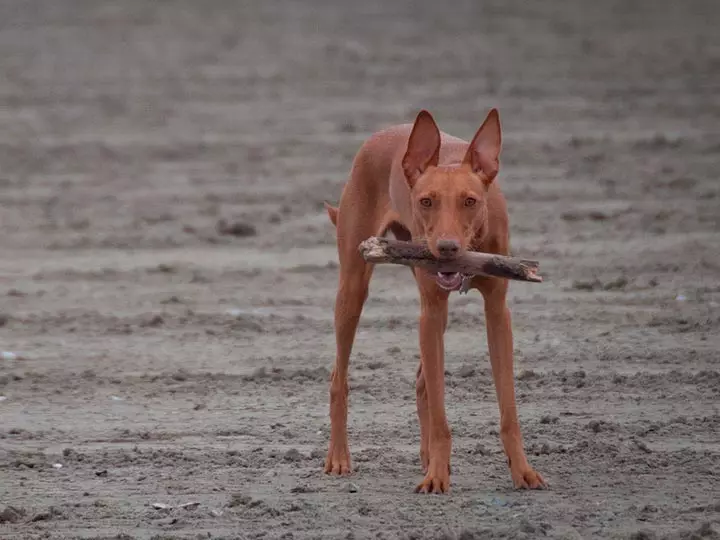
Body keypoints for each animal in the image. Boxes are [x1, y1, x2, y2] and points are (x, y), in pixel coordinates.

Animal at [322, 108, 544, 494]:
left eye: (470, 201)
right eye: (426, 201)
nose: (447, 248)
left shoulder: (497, 313)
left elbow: (508, 408)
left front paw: (523, 471)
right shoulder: (432, 310)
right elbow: (441, 415)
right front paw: (437, 477)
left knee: (422, 381)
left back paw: (426, 458)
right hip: (353, 288)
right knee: (339, 377)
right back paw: (339, 457)